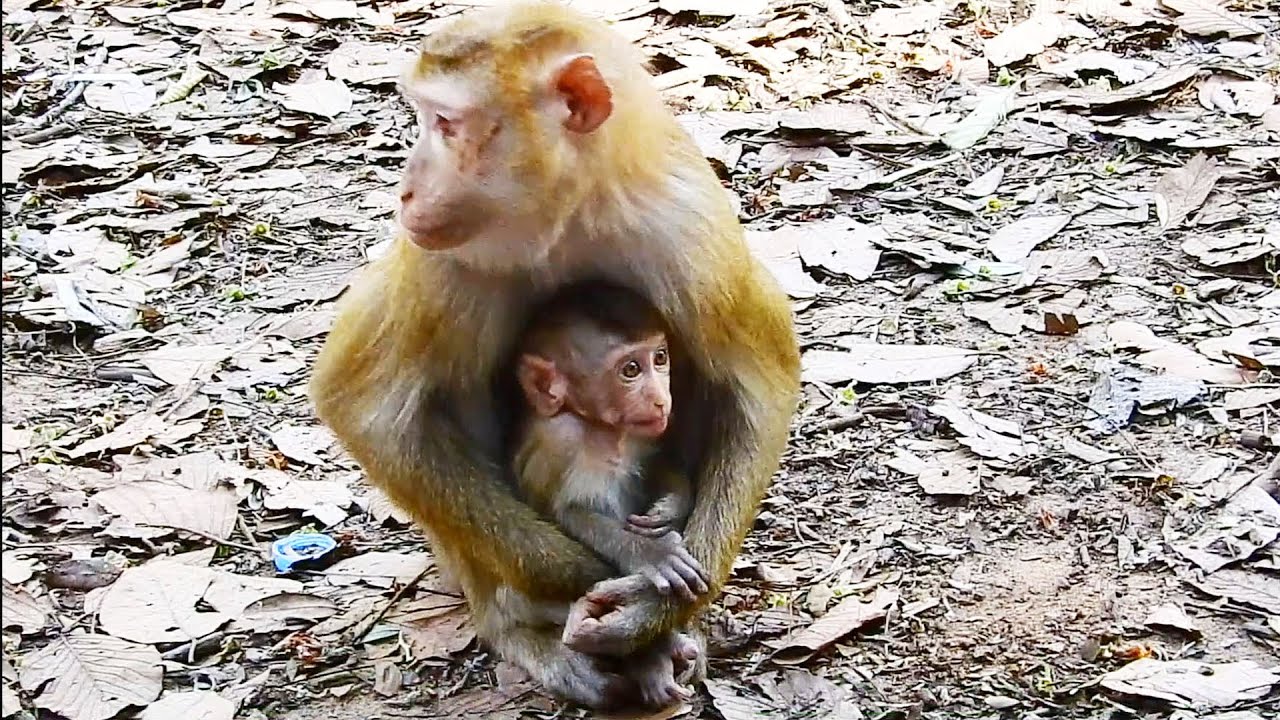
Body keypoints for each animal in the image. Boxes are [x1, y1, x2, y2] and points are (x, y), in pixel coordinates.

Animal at [508, 281, 708, 706]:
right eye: (630, 370)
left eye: (660, 358)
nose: (661, 398)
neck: (601, 431)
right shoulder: (557, 442)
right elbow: (565, 512)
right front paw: (652, 553)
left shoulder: (644, 432)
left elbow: (658, 464)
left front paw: (668, 509)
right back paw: (652, 656)